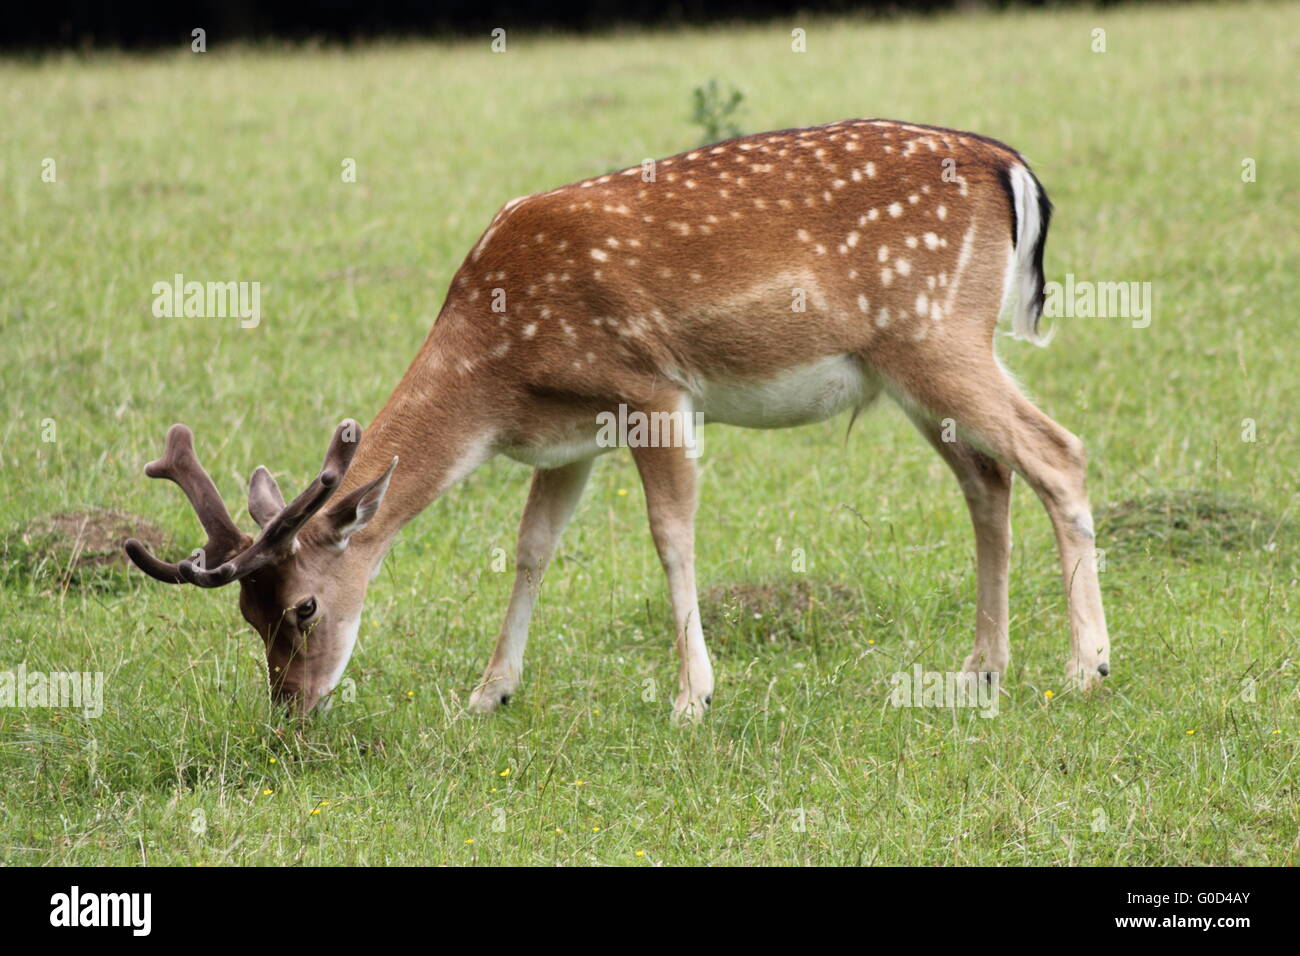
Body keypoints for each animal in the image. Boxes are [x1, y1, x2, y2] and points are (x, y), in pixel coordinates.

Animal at [125, 118, 1111, 721]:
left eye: (300, 608)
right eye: (247, 618)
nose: (291, 709)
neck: (496, 378)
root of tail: (1010, 167)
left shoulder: (653, 390)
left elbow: (671, 536)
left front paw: (692, 698)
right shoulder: (570, 437)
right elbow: (532, 548)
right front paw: (488, 694)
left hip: (935, 333)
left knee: (1058, 451)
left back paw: (1085, 667)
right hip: (911, 366)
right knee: (989, 476)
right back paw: (981, 669)